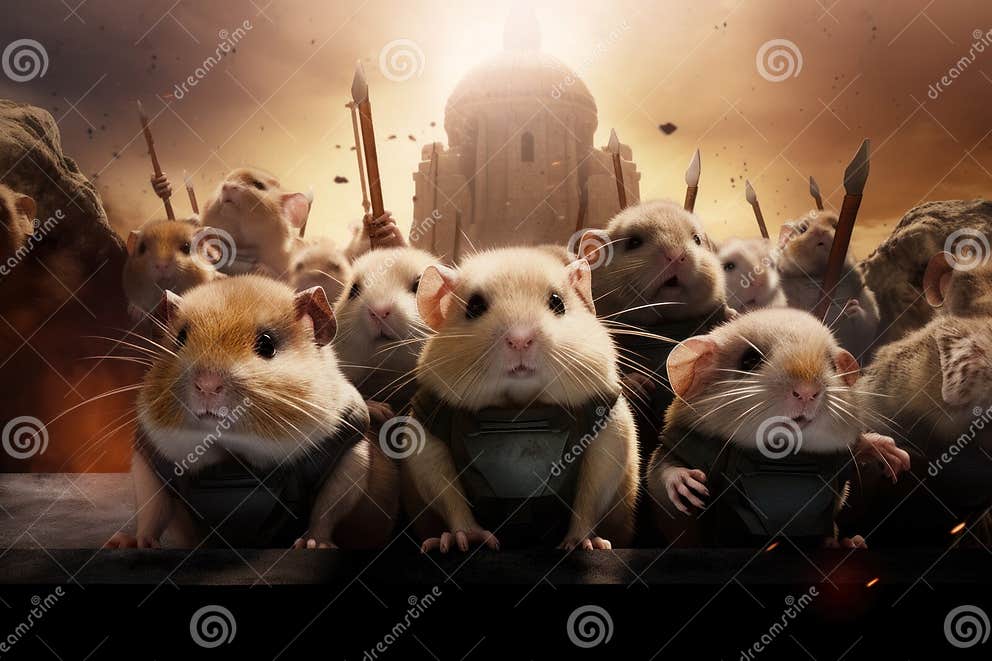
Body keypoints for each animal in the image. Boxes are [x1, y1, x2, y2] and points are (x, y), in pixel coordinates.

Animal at [105, 276, 397, 549]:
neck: (233, 457)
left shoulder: (348, 447)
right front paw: (130, 542)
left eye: (267, 345)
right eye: (181, 338)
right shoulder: (150, 455)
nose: (207, 385)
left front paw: (314, 543)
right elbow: (152, 506)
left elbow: (329, 506)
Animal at [402, 247, 639, 552]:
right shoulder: (430, 421)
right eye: (474, 307)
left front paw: (581, 540)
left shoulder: (608, 421)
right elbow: (441, 484)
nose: (520, 340)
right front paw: (462, 536)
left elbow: (595, 485)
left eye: (557, 303)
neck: (518, 406)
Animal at [645, 307, 908, 548]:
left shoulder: (836, 461)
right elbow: (659, 470)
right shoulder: (694, 443)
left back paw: (848, 543)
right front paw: (683, 481)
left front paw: (885, 450)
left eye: (833, 365)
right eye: (749, 360)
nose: (807, 391)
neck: (784, 457)